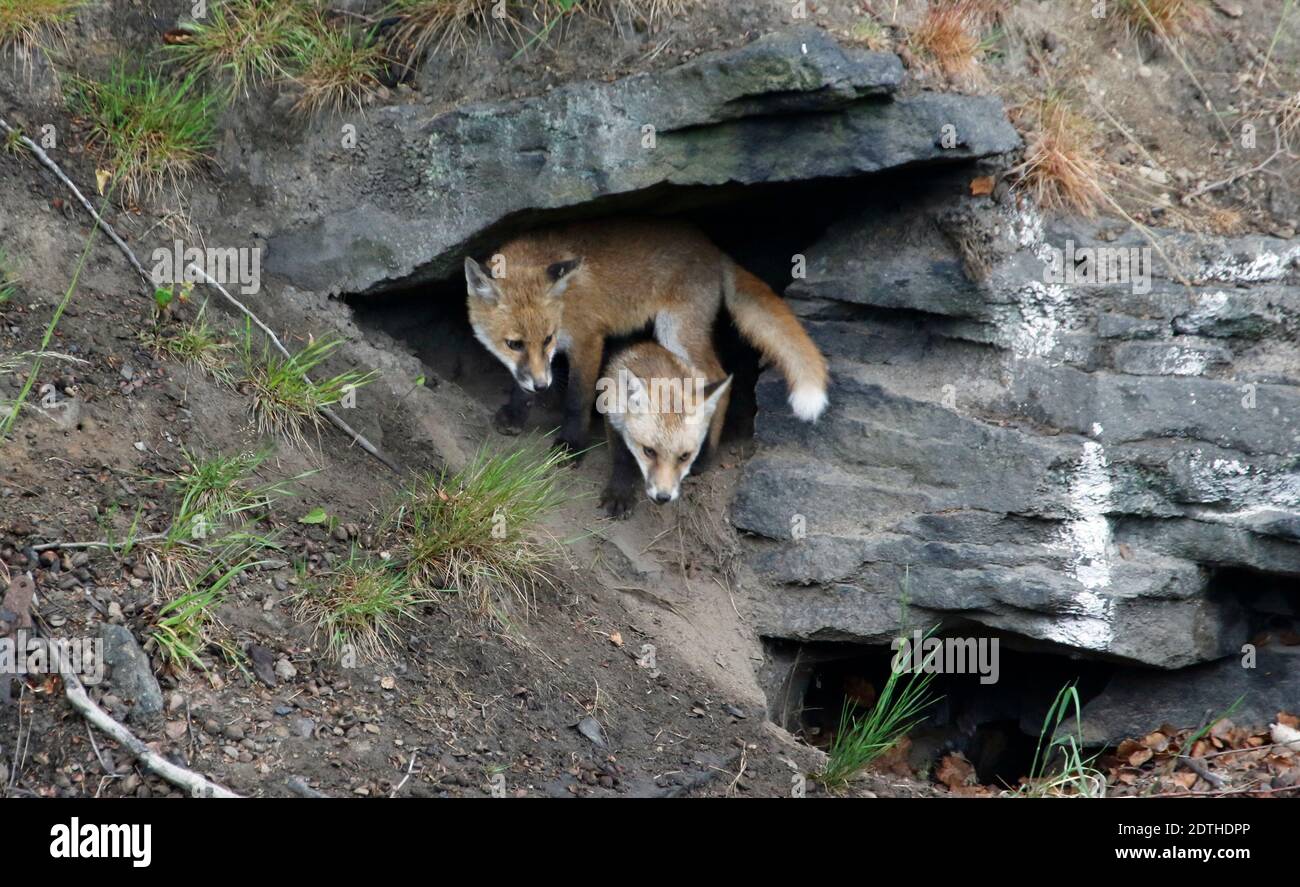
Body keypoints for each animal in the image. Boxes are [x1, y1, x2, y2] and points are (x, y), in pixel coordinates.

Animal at [463, 218, 828, 455]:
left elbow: (577, 399)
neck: (565, 305)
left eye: (548, 338)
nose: (542, 387)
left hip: (675, 332)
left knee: (717, 378)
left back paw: (705, 456)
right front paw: (515, 413)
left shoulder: (588, 339)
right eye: (514, 344)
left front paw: (571, 445)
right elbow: (519, 382)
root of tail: (713, 249)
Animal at [596, 341, 732, 518]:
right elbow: (622, 458)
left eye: (684, 456)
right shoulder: (612, 415)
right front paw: (619, 493)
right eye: (648, 451)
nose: (663, 497)